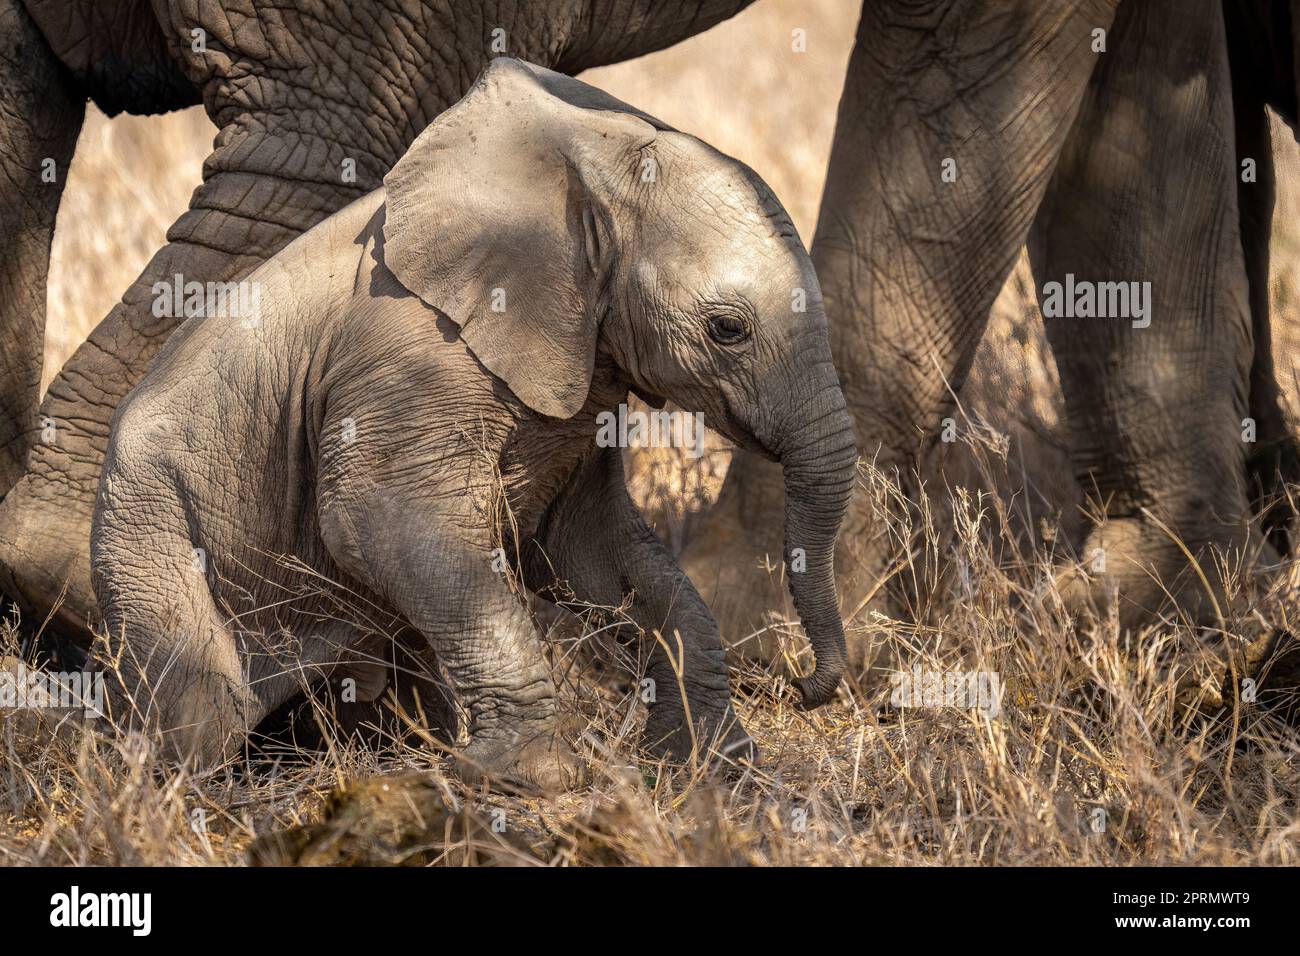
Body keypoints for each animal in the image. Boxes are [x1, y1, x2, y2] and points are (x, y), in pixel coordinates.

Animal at [87, 59, 857, 788]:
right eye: (728, 329)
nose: (800, 685)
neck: (588, 159)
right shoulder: (409, 359)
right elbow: (376, 520)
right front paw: (527, 779)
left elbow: (584, 546)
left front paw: (711, 769)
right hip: (147, 536)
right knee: (198, 717)